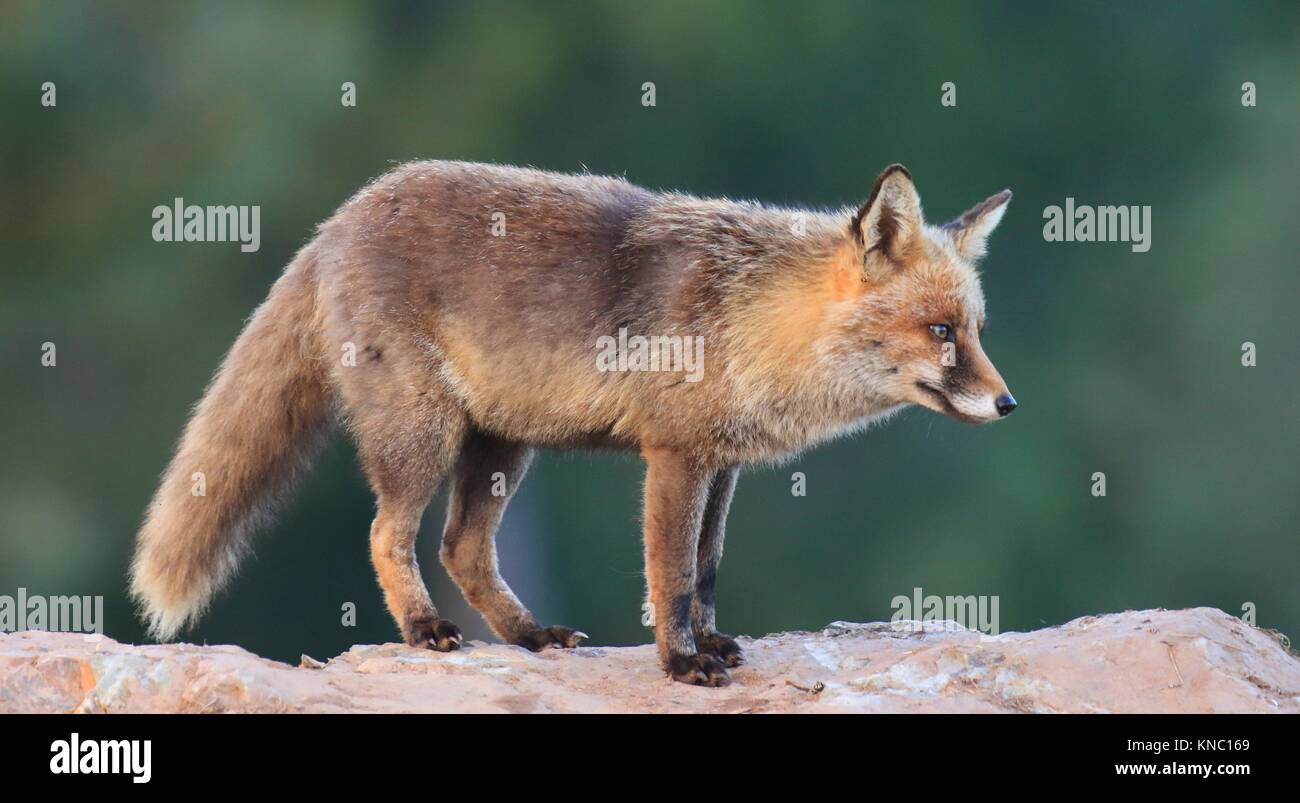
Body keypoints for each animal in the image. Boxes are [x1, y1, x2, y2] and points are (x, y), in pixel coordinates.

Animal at [131, 160, 1016, 686]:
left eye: (975, 330)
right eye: (940, 331)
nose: (1009, 404)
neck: (751, 316)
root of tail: (337, 219)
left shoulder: (722, 463)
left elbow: (707, 573)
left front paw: (710, 644)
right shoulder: (674, 454)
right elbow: (671, 575)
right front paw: (680, 662)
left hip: (500, 446)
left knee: (460, 547)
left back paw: (527, 636)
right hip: (425, 437)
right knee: (389, 534)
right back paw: (423, 629)